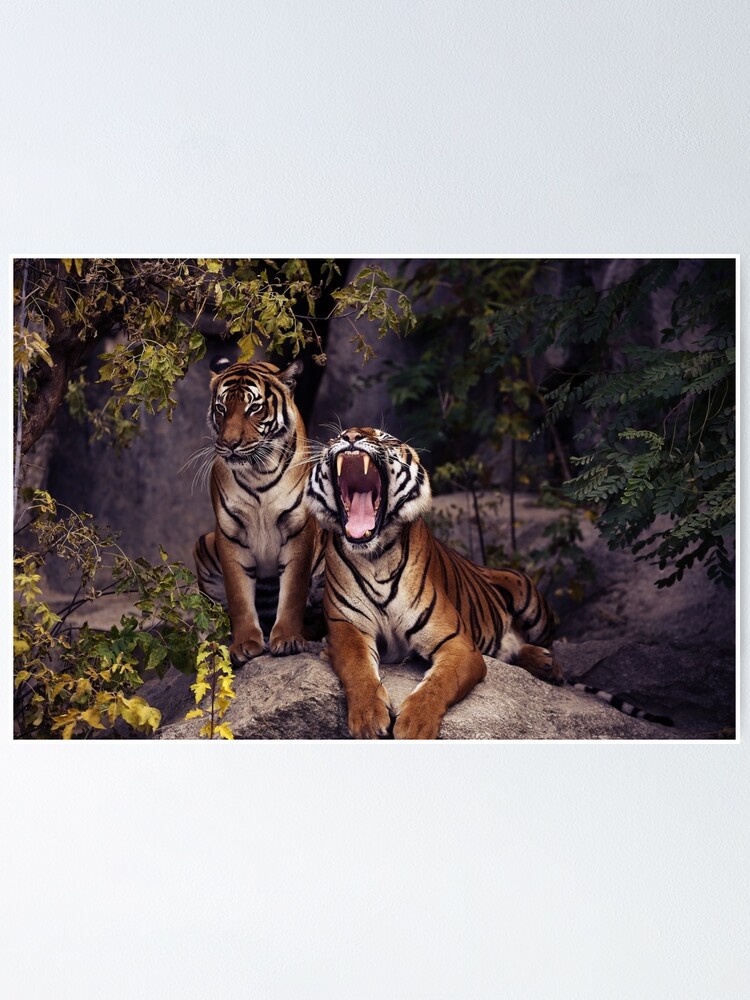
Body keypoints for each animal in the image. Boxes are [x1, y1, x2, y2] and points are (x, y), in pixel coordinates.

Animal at [193, 357, 321, 666]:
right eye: (221, 409)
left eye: (254, 408)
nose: (229, 444)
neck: (257, 472)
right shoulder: (229, 533)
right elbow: (239, 596)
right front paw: (244, 644)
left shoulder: (298, 528)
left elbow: (293, 592)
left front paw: (287, 639)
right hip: (204, 544)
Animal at [304, 426, 673, 739]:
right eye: (338, 435)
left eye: (384, 437)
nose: (351, 436)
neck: (375, 556)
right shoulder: (346, 628)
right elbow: (358, 668)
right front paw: (368, 719)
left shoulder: (458, 644)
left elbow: (437, 685)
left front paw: (414, 726)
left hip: (529, 596)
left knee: (549, 647)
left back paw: (549, 665)